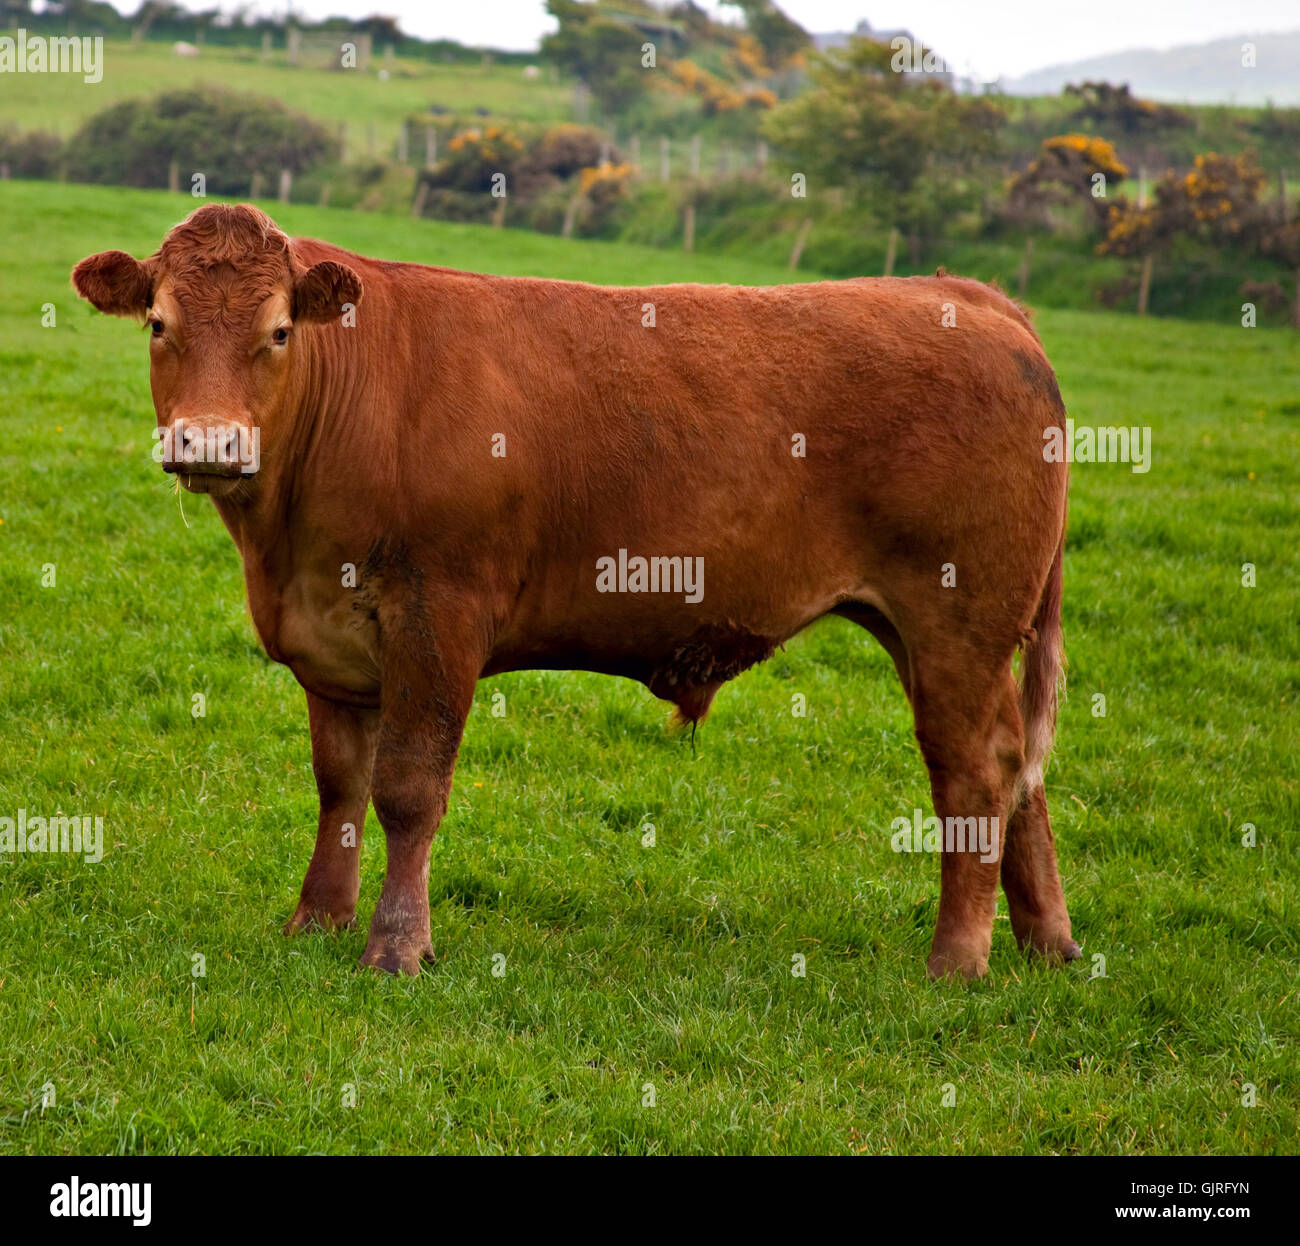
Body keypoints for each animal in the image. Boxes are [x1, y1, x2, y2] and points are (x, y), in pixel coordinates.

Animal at [72, 203, 1079, 980]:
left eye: (278, 331)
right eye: (159, 323)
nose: (209, 443)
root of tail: (973, 297)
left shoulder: (438, 619)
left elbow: (407, 790)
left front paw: (397, 948)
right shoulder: (332, 640)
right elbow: (339, 786)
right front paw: (316, 919)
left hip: (957, 621)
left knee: (975, 771)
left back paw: (958, 960)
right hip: (954, 635)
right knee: (1018, 770)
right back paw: (1047, 944)